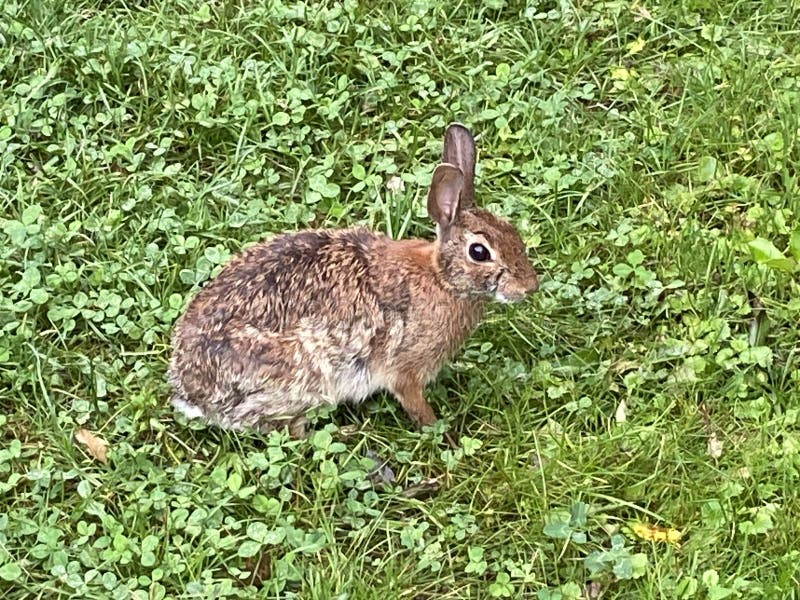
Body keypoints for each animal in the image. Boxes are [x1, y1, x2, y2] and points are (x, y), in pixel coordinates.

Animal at [167, 123, 539, 439]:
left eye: (512, 231)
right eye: (479, 252)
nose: (529, 287)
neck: (441, 278)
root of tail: (192, 393)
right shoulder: (406, 370)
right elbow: (415, 403)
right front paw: (442, 432)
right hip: (303, 376)